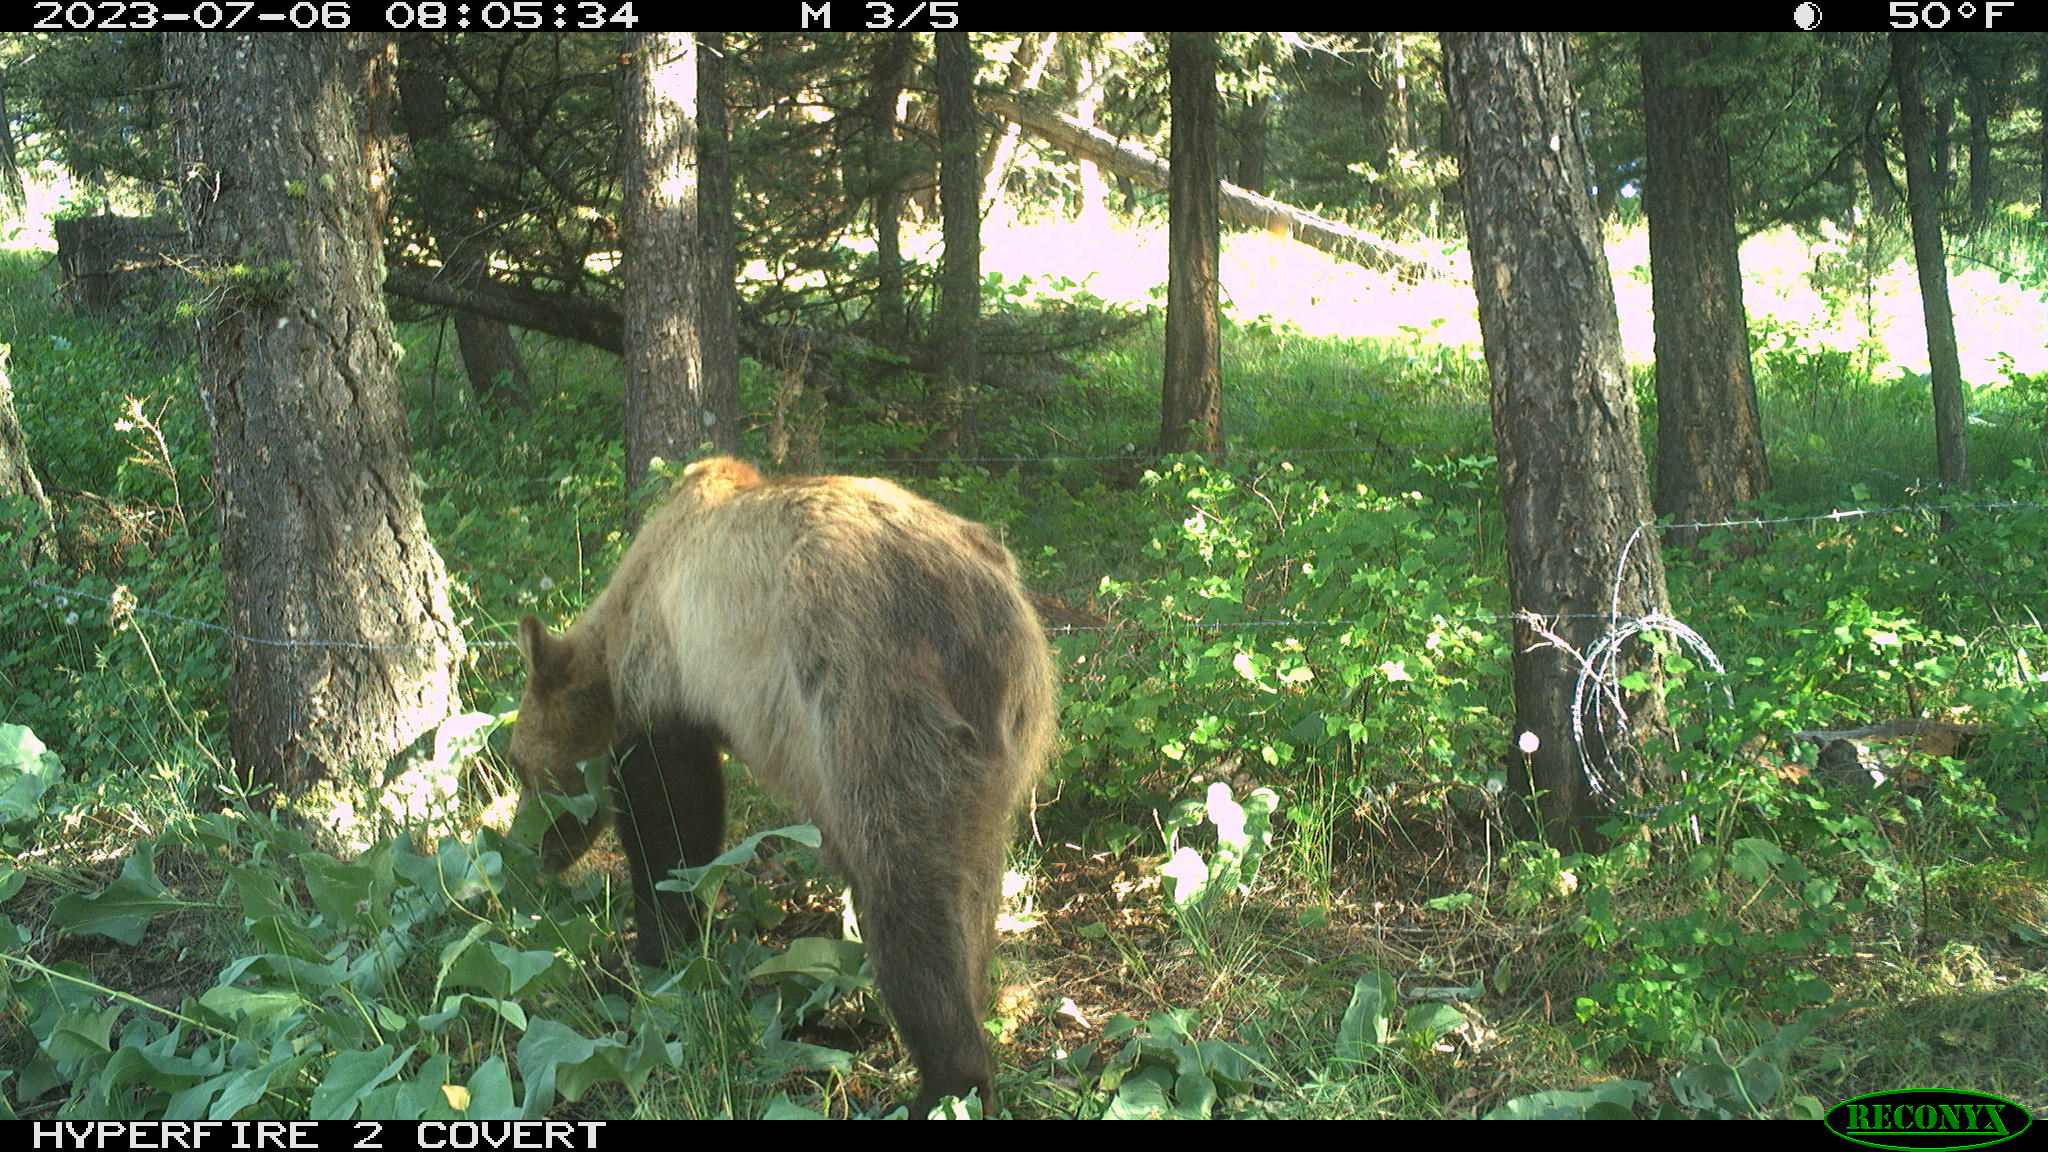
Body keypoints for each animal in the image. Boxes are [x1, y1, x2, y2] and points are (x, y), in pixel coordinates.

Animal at [508, 456, 1056, 1116]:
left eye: (517, 764)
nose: (528, 849)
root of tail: (978, 615)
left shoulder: (671, 662)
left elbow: (670, 816)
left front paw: (653, 948)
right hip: (1011, 735)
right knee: (972, 887)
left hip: (872, 696)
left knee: (902, 879)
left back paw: (940, 1082)